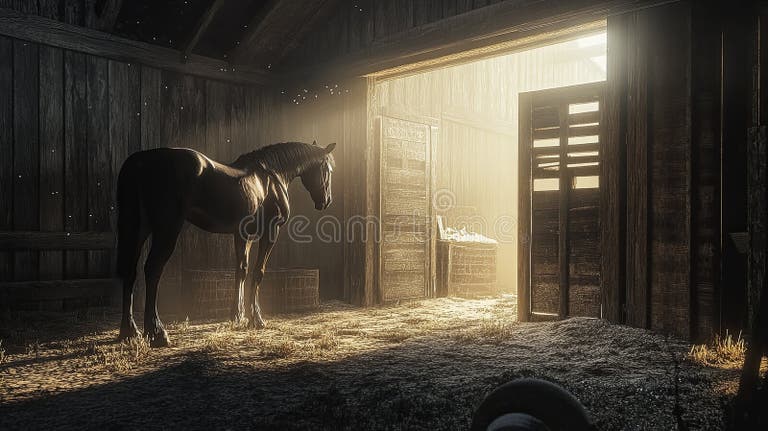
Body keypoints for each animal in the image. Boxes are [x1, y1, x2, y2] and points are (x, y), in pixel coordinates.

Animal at [115, 141, 336, 347]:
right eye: (327, 169)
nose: (326, 201)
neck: (272, 176)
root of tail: (141, 161)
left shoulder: (243, 234)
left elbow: (241, 270)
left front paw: (238, 316)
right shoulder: (270, 232)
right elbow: (258, 272)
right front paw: (257, 319)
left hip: (139, 230)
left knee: (130, 272)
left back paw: (129, 332)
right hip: (167, 230)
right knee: (153, 270)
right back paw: (157, 333)